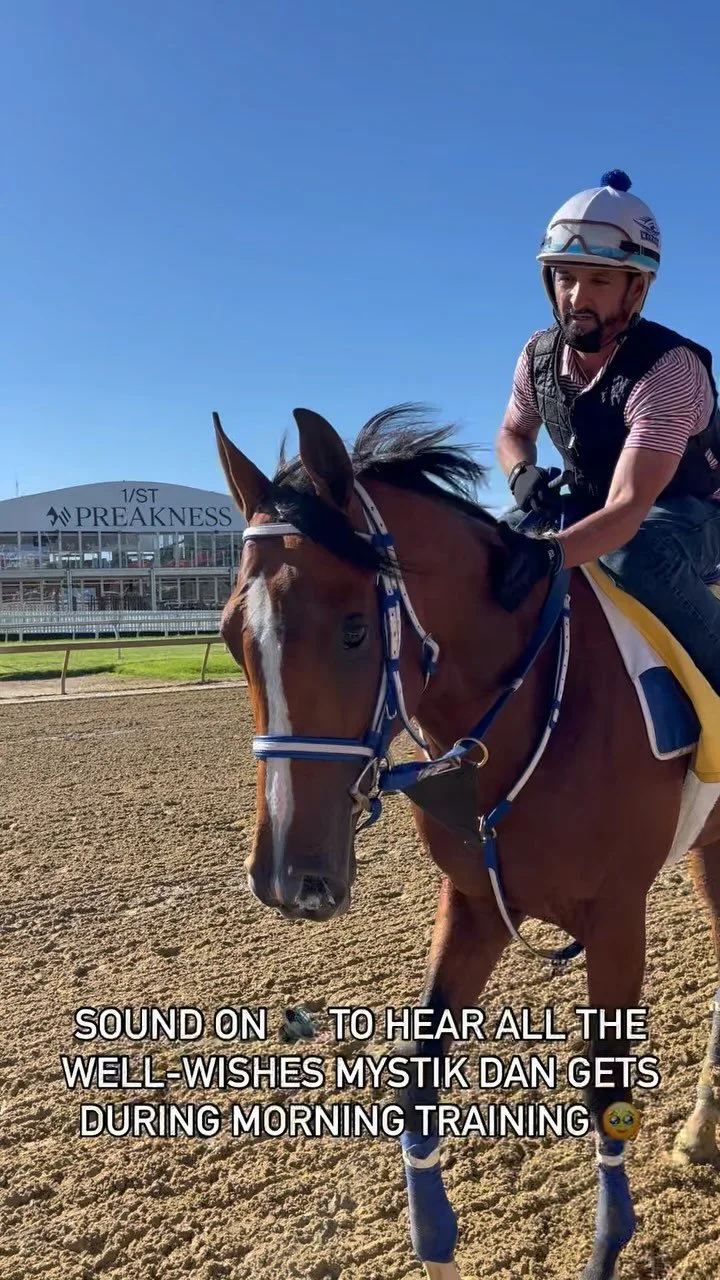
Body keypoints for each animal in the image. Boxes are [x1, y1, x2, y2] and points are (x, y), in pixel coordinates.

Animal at [214, 403, 720, 1280]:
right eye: (230, 634)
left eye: (355, 630)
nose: (286, 878)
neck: (538, 701)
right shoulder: (474, 905)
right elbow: (415, 1089)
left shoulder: (619, 918)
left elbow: (607, 1099)